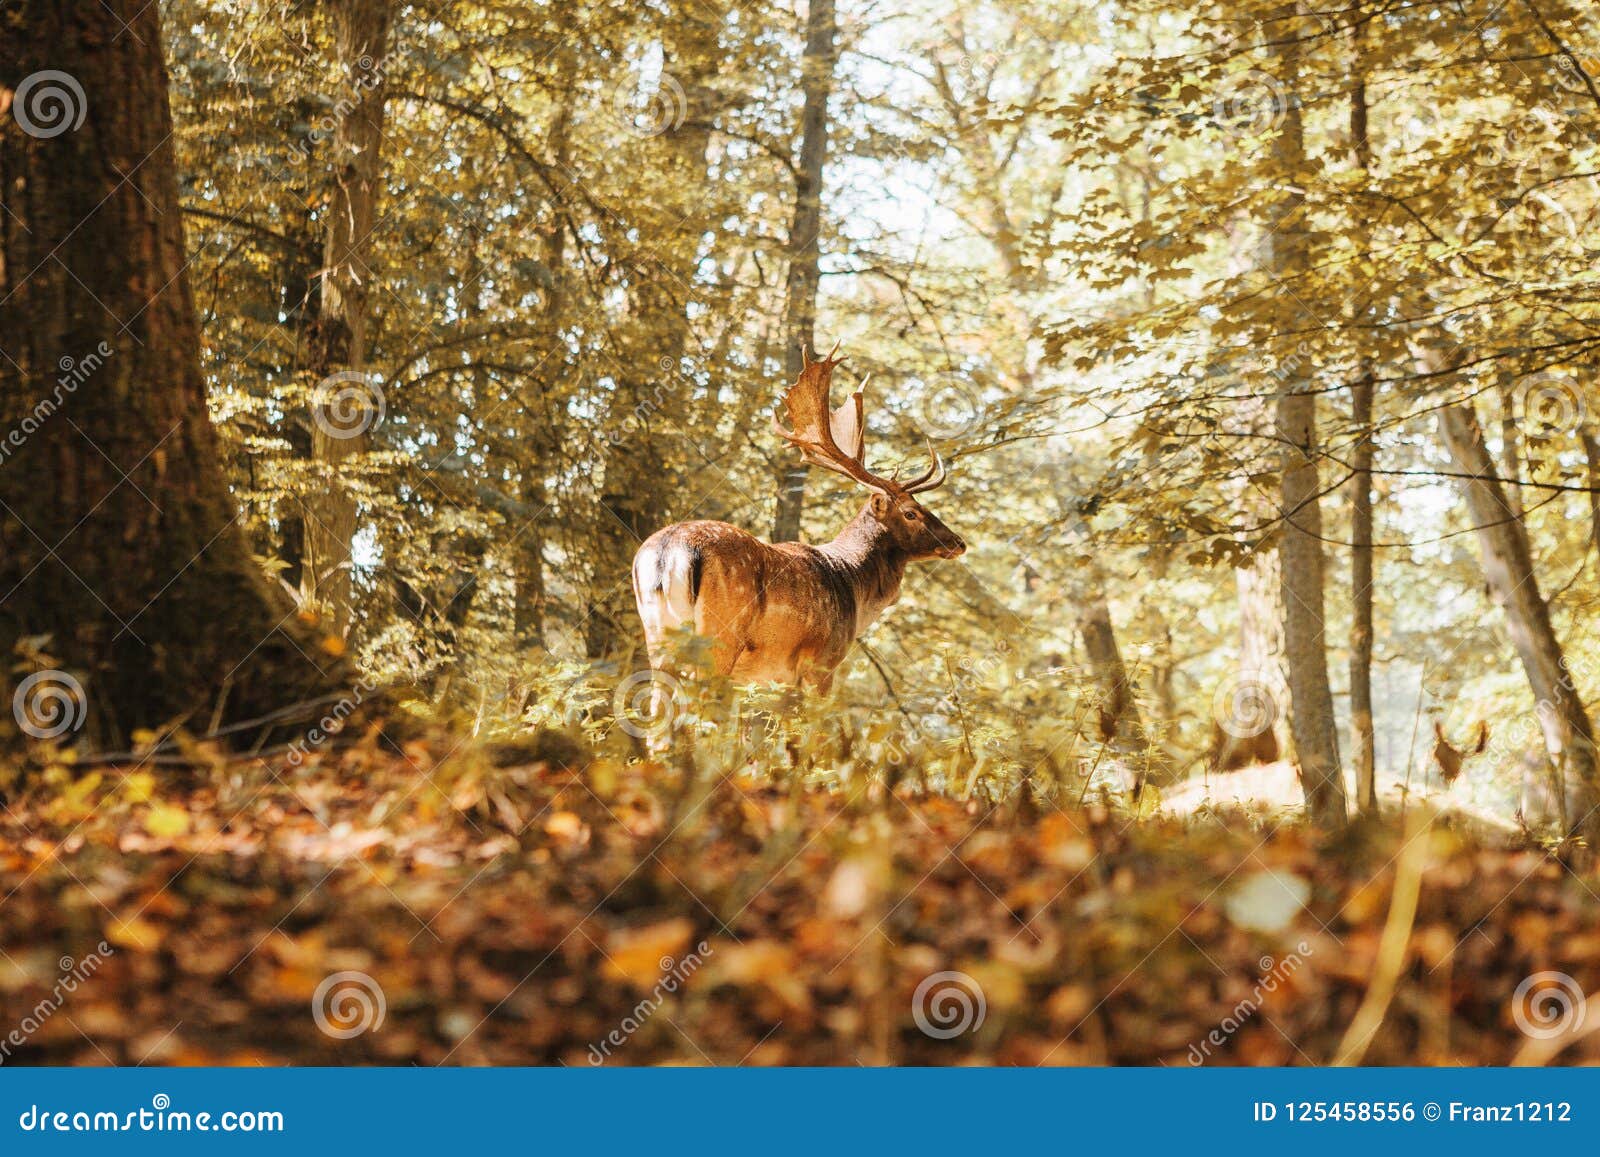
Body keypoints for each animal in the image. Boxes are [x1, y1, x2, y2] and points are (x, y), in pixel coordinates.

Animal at [631, 344, 965, 693]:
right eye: (911, 512)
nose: (959, 542)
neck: (855, 591)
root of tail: (668, 551)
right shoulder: (821, 664)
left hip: (656, 636)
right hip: (719, 636)